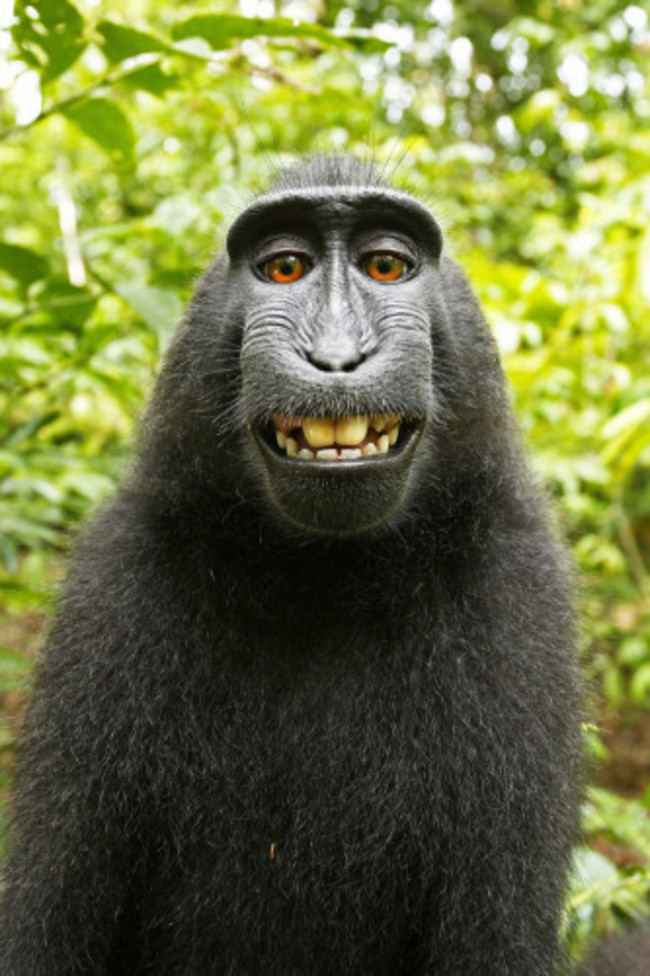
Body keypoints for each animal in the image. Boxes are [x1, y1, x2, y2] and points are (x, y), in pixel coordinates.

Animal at [0, 156, 582, 974]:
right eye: (284, 268)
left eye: (385, 265)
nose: (336, 358)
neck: (323, 581)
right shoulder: (114, 585)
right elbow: (51, 922)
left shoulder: (520, 594)